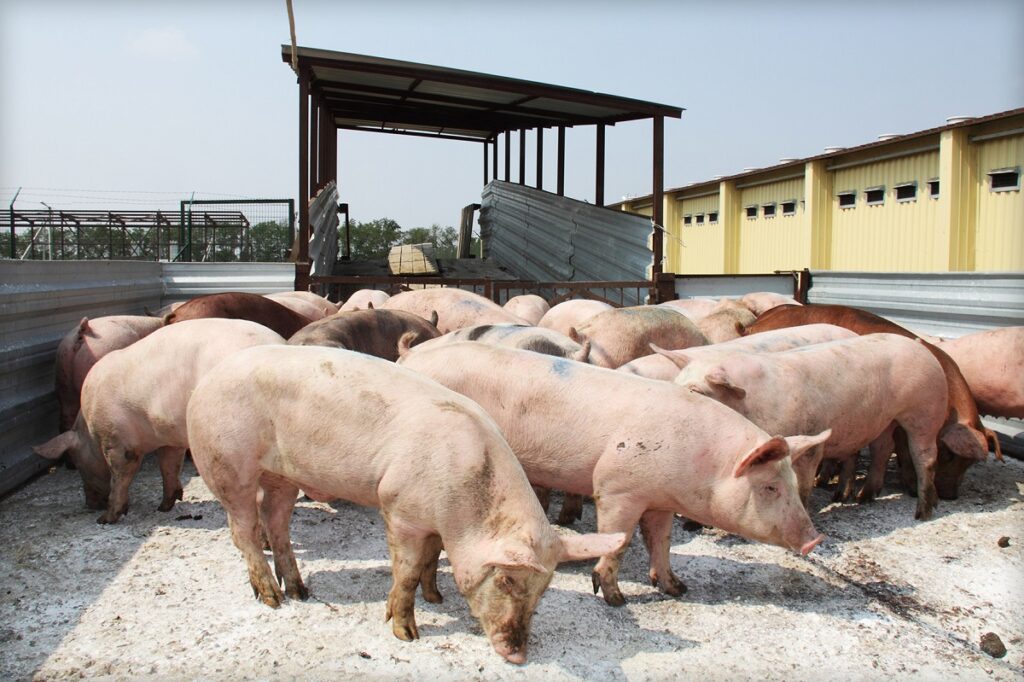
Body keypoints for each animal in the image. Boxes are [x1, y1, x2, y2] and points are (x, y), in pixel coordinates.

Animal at [34, 319, 285, 522]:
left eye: (77, 461)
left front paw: (107, 519)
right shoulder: (168, 435)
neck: (89, 428)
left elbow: (121, 475)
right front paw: (165, 506)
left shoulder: (117, 440)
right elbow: (168, 466)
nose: (90, 505)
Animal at [186, 345, 624, 663]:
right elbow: (408, 571)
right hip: (228, 462)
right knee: (243, 530)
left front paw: (437, 598)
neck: (463, 507)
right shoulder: (400, 510)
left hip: (281, 476)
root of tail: (206, 381)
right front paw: (406, 634)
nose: (517, 656)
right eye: (505, 580)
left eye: (544, 589)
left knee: (276, 522)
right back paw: (272, 599)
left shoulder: (434, 520)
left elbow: (431, 559)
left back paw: (300, 591)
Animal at [398, 342, 830, 606]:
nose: (814, 540)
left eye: (793, 483)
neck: (704, 464)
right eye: (770, 486)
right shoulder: (617, 488)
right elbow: (619, 542)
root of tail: (409, 362)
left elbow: (661, 541)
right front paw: (615, 599)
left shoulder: (660, 500)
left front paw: (677, 588)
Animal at [668, 334, 951, 519]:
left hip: (926, 410)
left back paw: (922, 513)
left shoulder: (812, 440)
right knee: (882, 447)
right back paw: (860, 499)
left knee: (925, 457)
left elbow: (803, 483)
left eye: (696, 390)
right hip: (883, 420)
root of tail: (918, 345)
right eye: (676, 382)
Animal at [746, 303, 999, 499]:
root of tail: (758, 323)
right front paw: (907, 487)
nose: (949, 496)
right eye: (948, 453)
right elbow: (899, 450)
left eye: (970, 463)